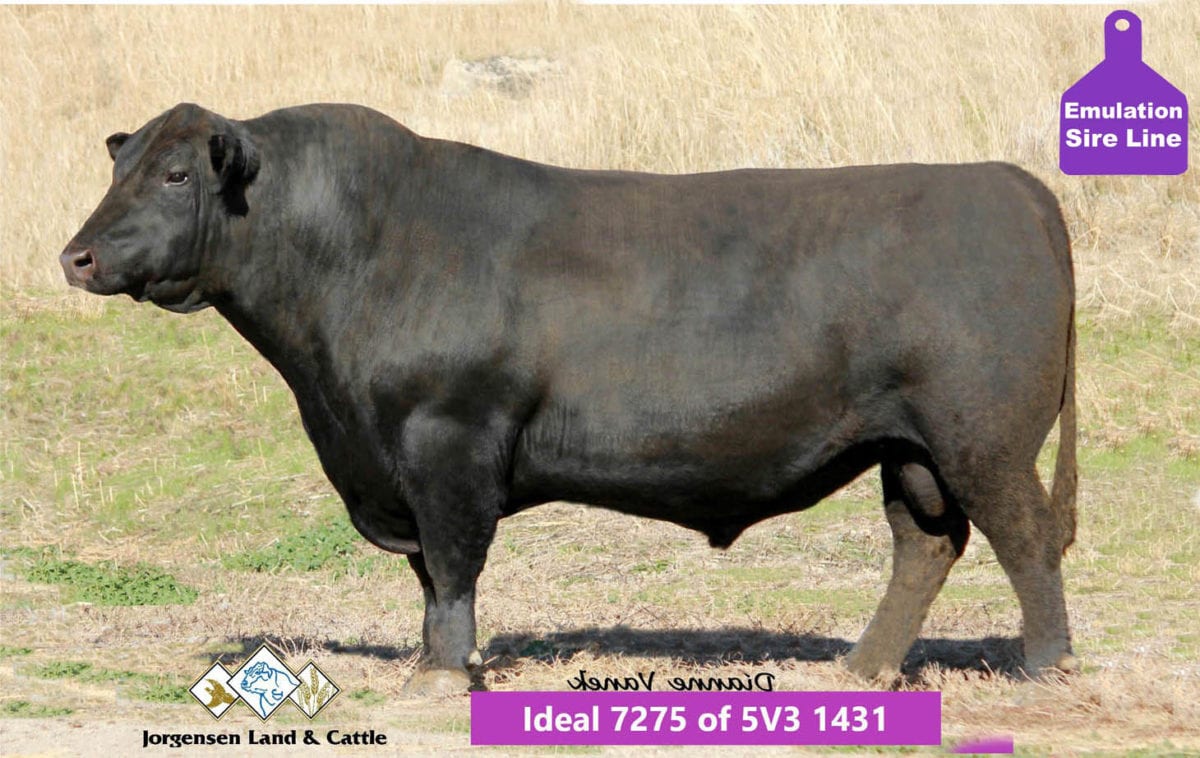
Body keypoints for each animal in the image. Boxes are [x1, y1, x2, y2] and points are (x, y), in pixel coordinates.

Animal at [61, 103, 1078, 695]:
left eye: (177, 174)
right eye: (118, 168)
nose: (77, 256)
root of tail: (1005, 180)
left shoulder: (448, 441)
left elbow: (453, 562)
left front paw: (443, 674)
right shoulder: (393, 458)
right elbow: (428, 573)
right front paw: (431, 659)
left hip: (982, 436)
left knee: (1023, 535)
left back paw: (1044, 667)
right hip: (910, 447)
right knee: (925, 544)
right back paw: (859, 671)